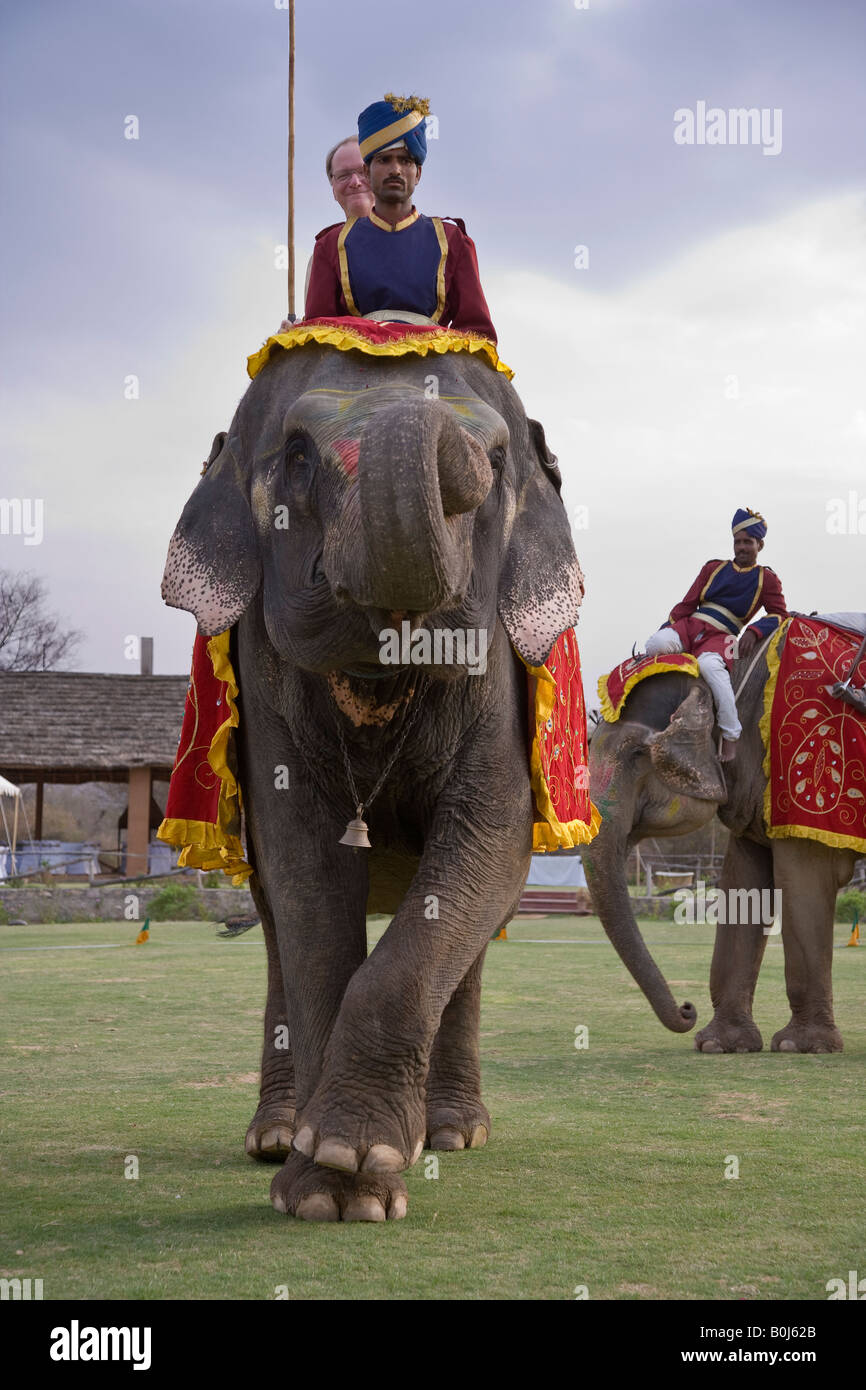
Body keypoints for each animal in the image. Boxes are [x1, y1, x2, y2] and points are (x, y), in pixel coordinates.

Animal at [161, 335, 583, 1220]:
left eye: (502, 459)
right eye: (295, 455)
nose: (471, 460)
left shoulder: (501, 677)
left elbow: (490, 839)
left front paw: (358, 1159)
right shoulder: (262, 672)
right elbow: (307, 872)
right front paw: (328, 1186)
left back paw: (454, 1131)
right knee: (274, 924)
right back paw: (274, 1135)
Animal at [582, 644, 861, 1054]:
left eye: (637, 755)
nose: (686, 1008)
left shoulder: (809, 788)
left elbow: (803, 880)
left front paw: (801, 1045)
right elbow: (742, 883)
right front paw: (722, 1045)